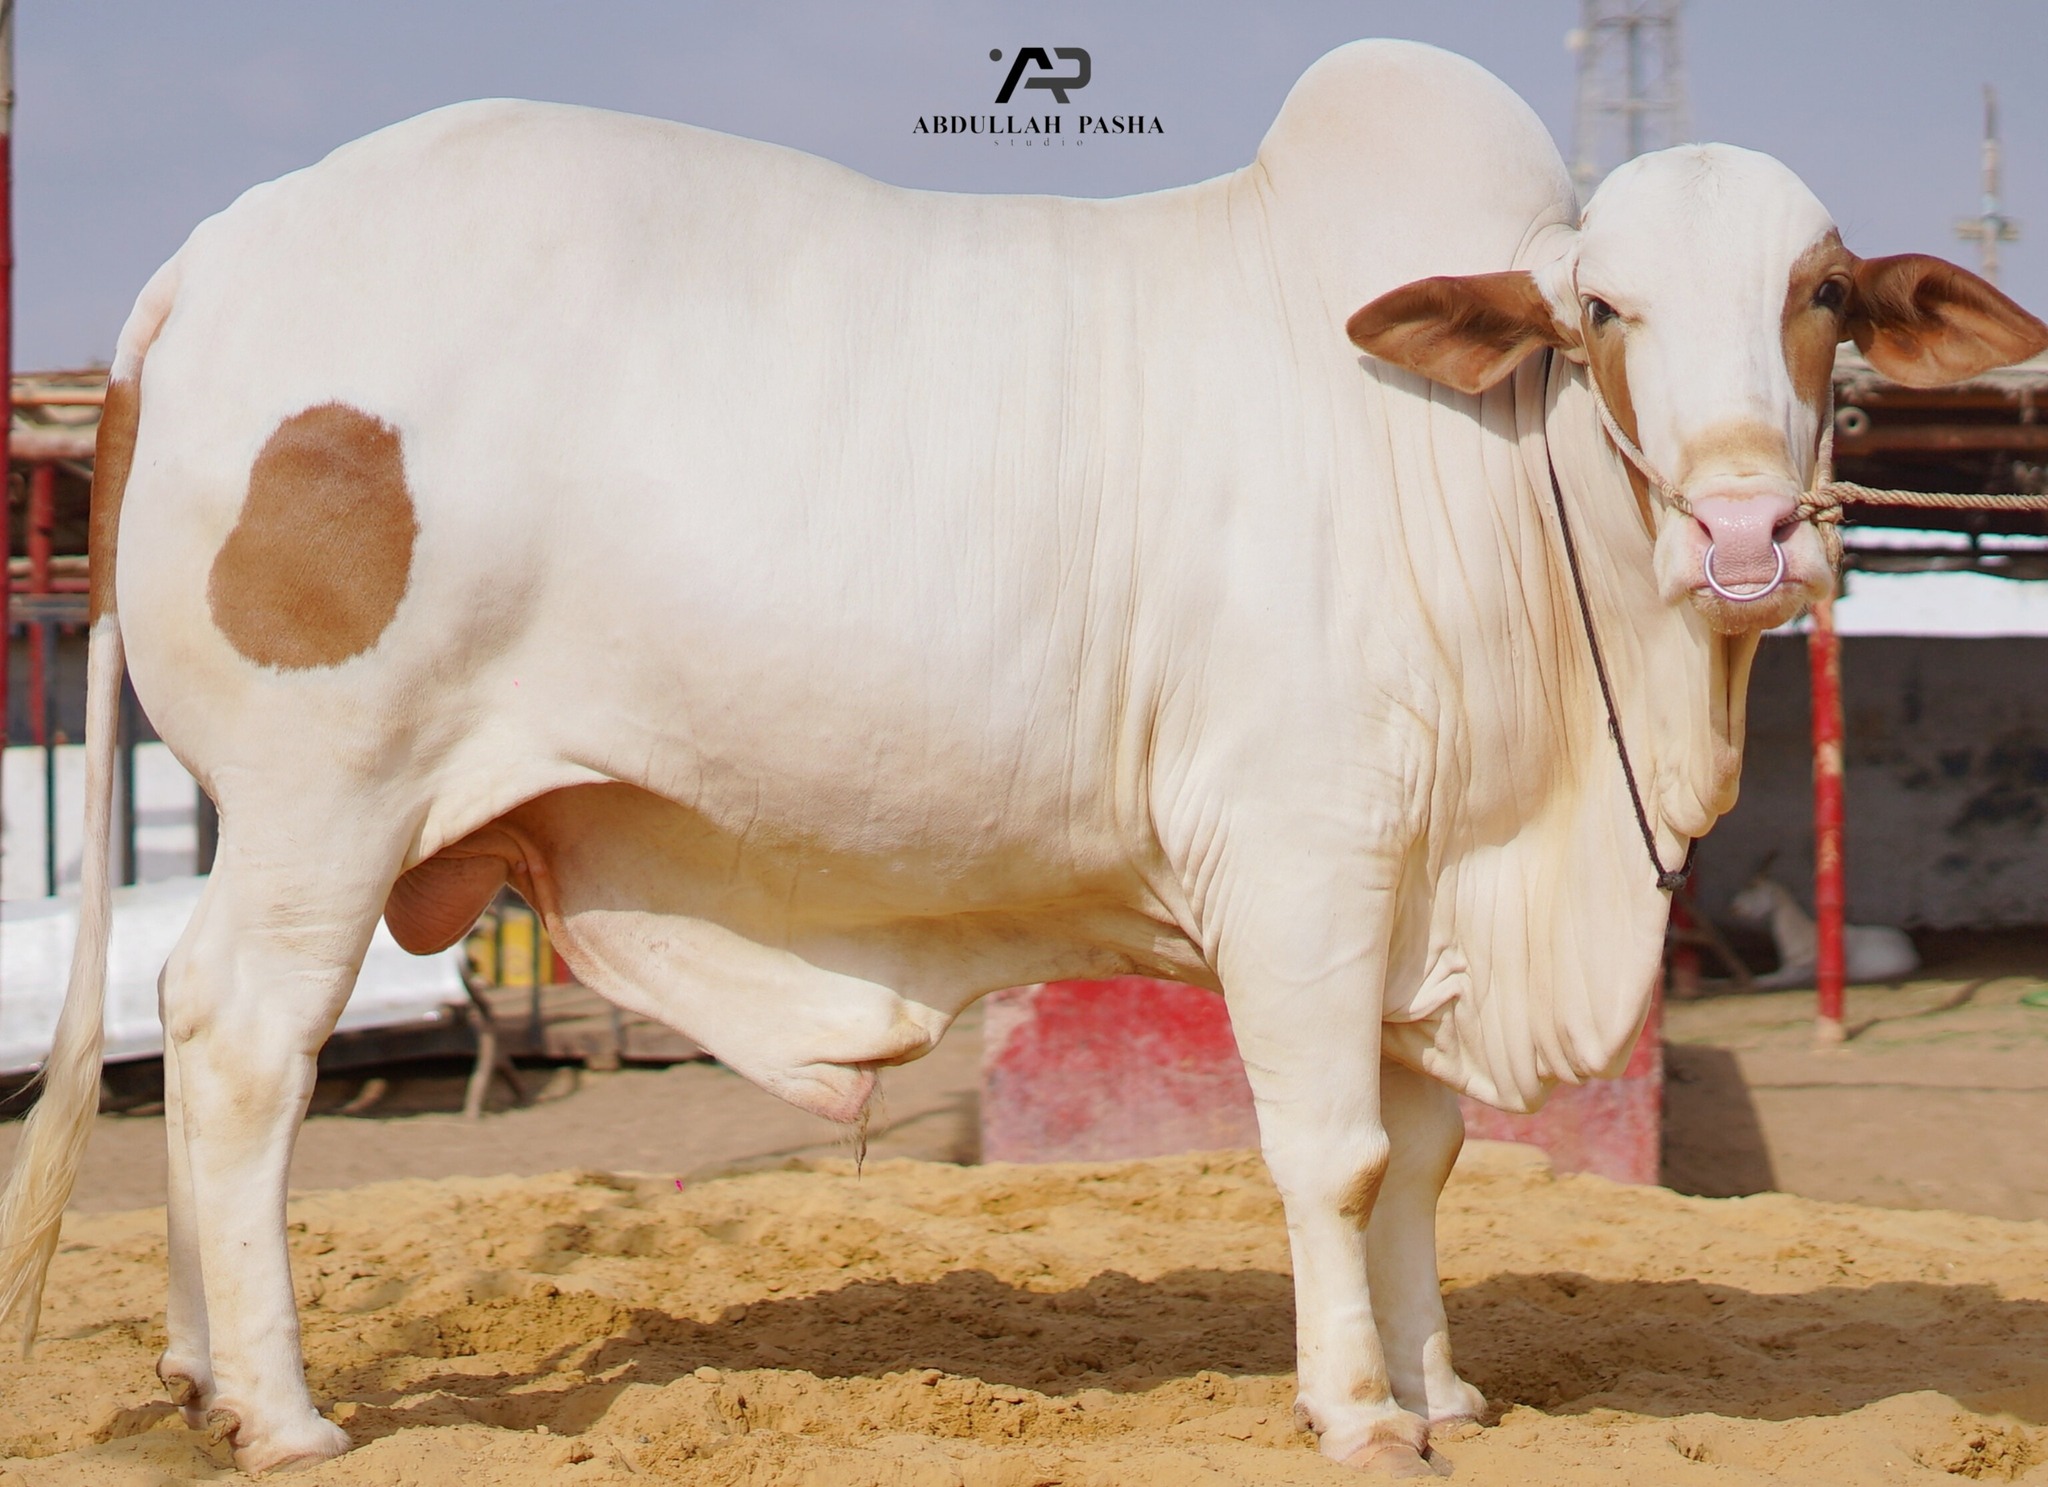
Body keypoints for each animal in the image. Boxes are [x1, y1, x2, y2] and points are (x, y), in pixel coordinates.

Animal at [1, 39, 2041, 1476]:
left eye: (1823, 295)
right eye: (1600, 310)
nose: (1744, 536)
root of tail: (213, 258)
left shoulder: (1417, 881)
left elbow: (1430, 1151)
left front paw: (1442, 1385)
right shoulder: (1302, 852)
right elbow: (1333, 1153)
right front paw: (1353, 1407)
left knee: (186, 1029)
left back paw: (195, 1369)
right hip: (323, 801)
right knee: (242, 1048)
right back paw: (282, 1409)